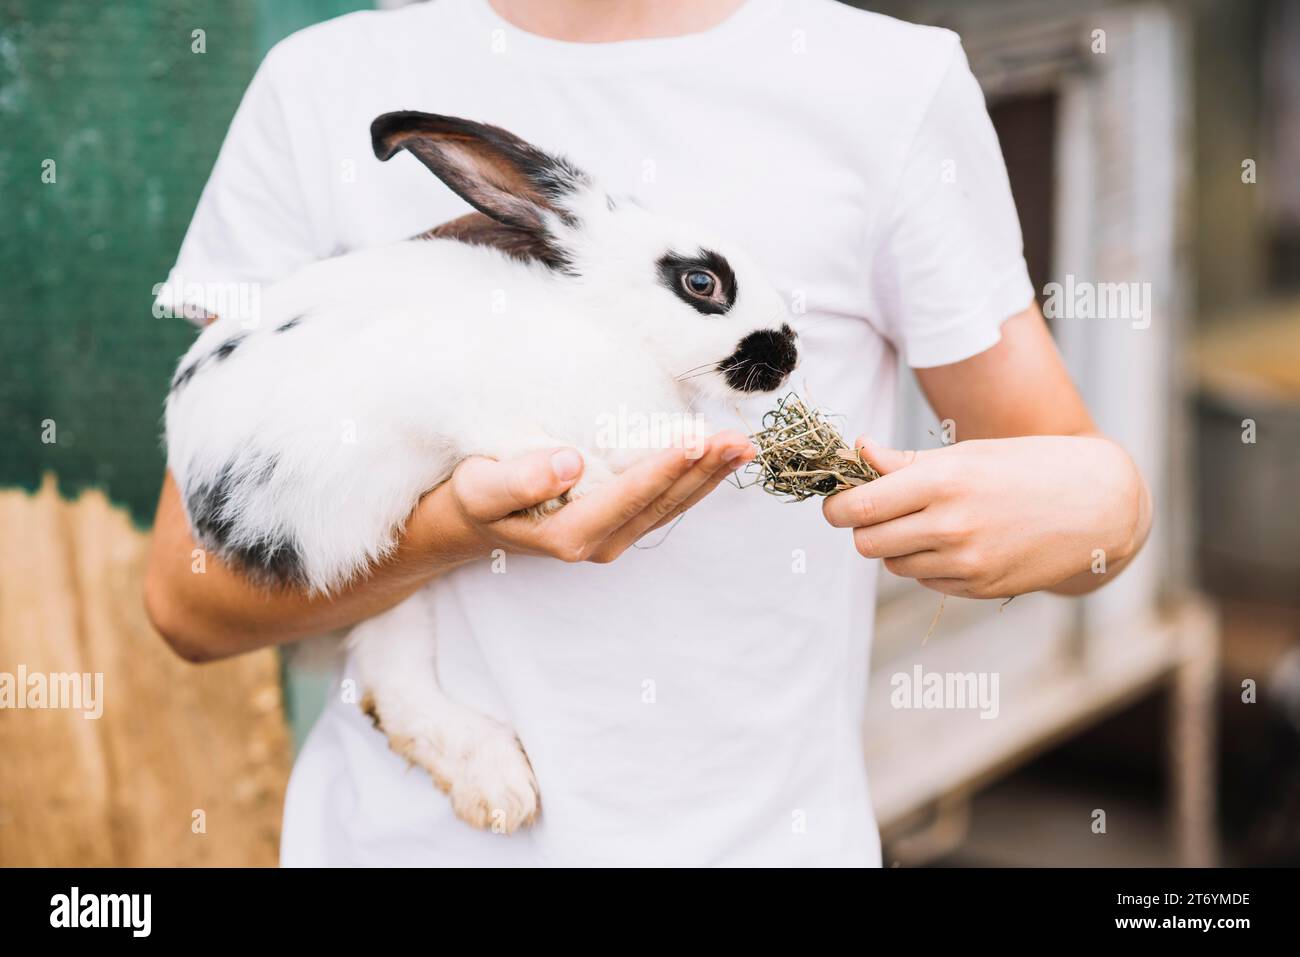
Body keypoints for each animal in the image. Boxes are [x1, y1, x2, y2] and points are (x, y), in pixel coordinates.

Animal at [163, 112, 800, 834]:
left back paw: (496, 789)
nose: (787, 355)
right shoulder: (443, 388)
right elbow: (498, 427)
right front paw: (583, 484)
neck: (613, 334)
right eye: (701, 283)